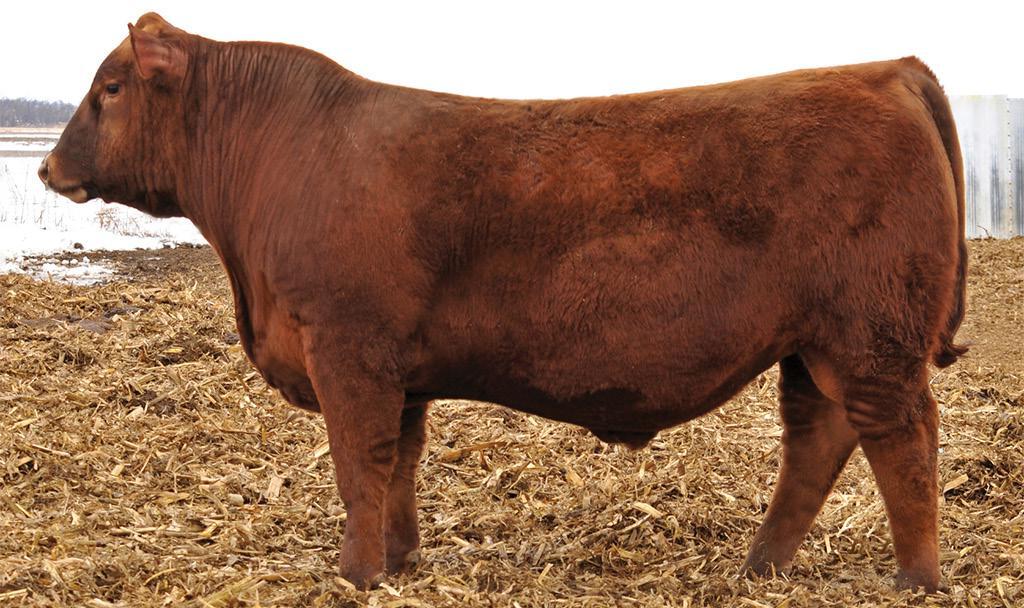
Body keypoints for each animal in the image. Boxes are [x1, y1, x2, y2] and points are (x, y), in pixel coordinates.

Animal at [39, 13, 966, 592]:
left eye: (111, 87)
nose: (47, 167)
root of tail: (889, 71)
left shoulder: (346, 347)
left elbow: (356, 463)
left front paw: (355, 572)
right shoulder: (399, 370)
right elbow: (398, 463)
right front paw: (399, 561)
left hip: (873, 335)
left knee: (904, 441)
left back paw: (914, 579)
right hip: (817, 345)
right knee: (821, 440)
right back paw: (762, 566)